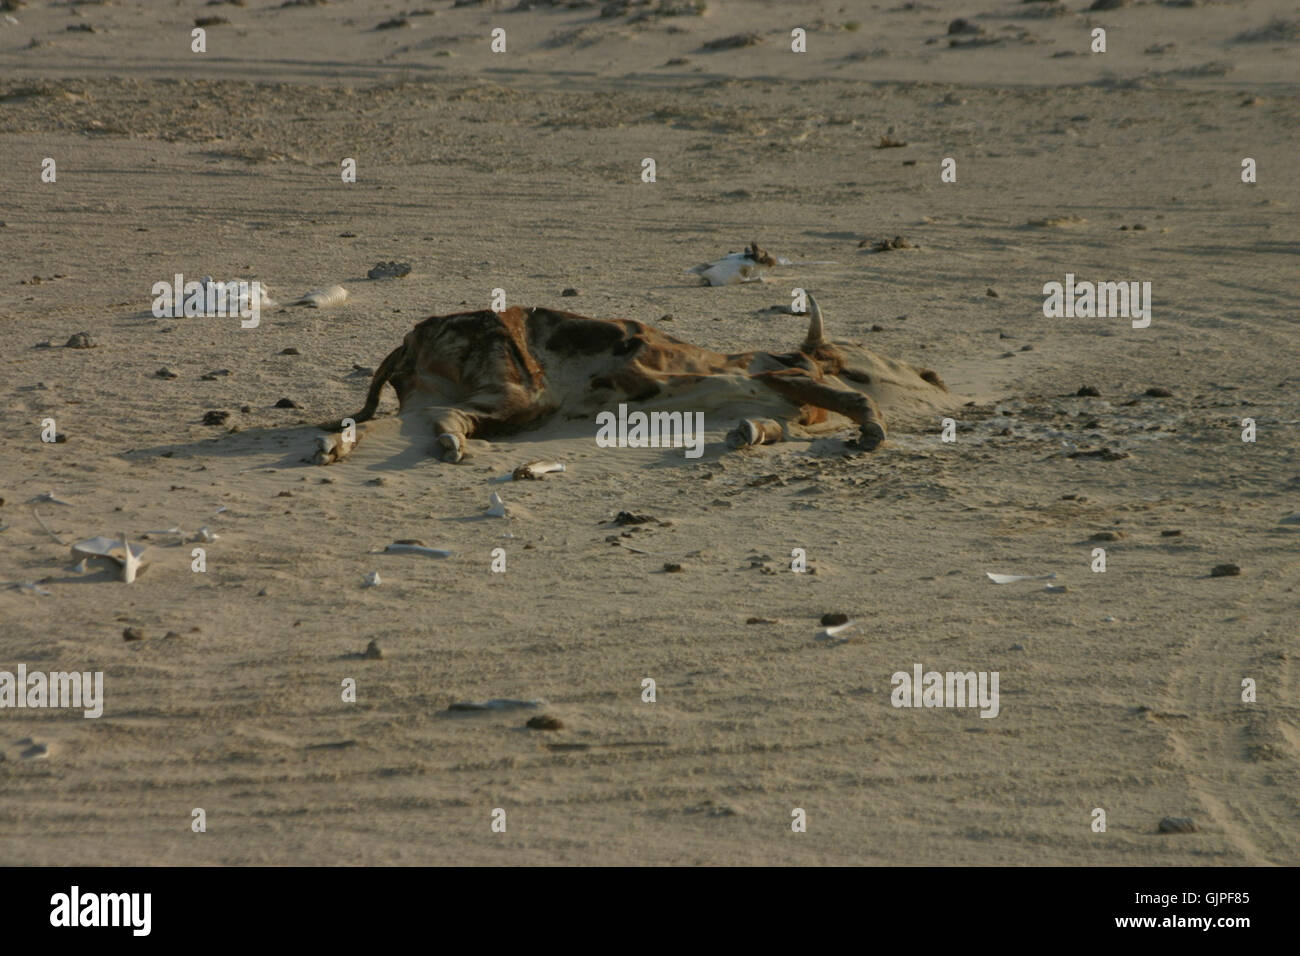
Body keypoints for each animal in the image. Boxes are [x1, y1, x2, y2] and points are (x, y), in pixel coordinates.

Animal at [313, 295, 951, 465]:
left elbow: (766, 426)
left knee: (408, 423)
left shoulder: (783, 404)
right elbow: (849, 395)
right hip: (520, 391)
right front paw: (871, 428)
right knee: (443, 420)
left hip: (459, 397)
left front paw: (745, 434)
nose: (934, 374)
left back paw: (333, 446)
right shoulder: (785, 375)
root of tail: (411, 339)